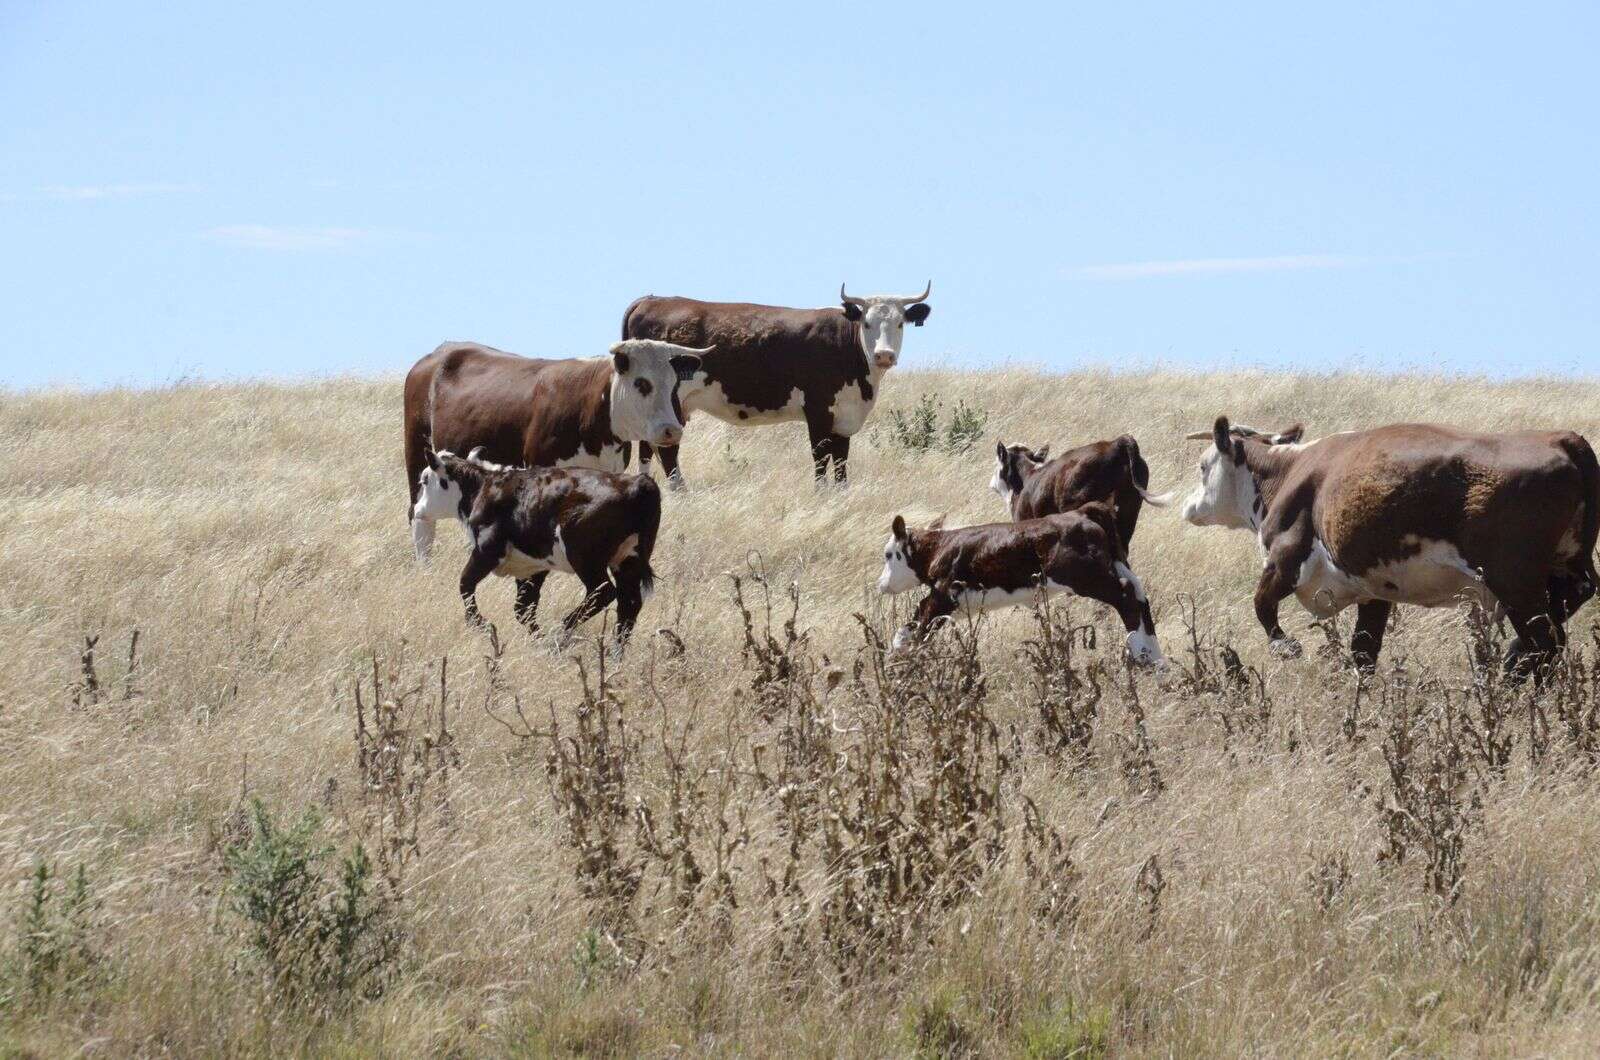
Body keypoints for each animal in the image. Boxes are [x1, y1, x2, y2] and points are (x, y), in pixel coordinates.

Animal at [411, 449, 660, 648]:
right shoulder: (532, 568)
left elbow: (465, 584)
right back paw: (615, 653)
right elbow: (523, 610)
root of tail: (637, 484)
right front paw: (538, 639)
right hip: (628, 561)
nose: (417, 510)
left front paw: (481, 624)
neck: (484, 488)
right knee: (629, 604)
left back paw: (561, 632)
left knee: (603, 592)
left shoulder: (486, 553)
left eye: (424, 480)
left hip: (585, 560)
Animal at [620, 283, 933, 486]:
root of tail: (652, 299)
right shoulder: (818, 411)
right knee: (667, 452)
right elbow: (821, 460)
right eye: (867, 324)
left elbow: (841, 464)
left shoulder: (844, 416)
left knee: (649, 449)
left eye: (900, 323)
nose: (884, 354)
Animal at [876, 506, 1165, 666]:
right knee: (1140, 598)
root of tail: (1082, 512)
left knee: (1126, 596)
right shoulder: (950, 603)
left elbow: (916, 627)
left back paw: (1141, 655)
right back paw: (1157, 660)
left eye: (888, 554)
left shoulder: (944, 595)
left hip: (1086, 577)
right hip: (1113, 566)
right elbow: (913, 623)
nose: (881, 584)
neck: (942, 547)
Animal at [1179, 416, 1600, 676]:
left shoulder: (1285, 561)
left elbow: (1263, 607)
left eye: (1202, 466)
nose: (1189, 507)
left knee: (1544, 643)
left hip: (1514, 580)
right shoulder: (1374, 589)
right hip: (1567, 569)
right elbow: (1363, 652)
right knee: (1561, 619)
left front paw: (1288, 647)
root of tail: (1561, 438)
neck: (1287, 473)